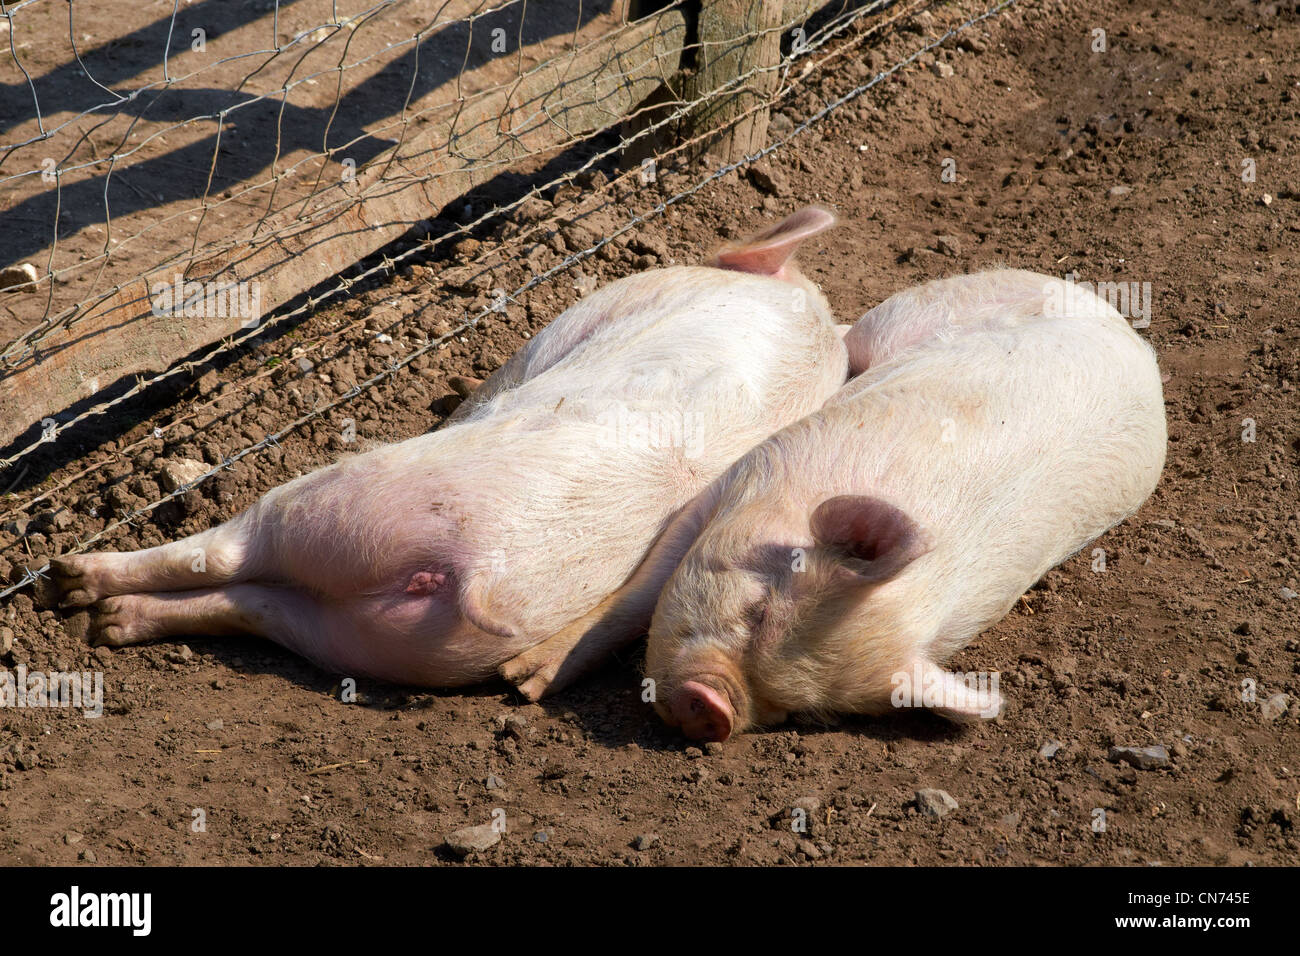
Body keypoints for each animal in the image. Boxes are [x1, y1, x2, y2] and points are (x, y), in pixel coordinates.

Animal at [39, 208, 848, 695]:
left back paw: (74, 582)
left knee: (224, 556)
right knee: (254, 606)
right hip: (380, 643)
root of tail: (478, 570)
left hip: (335, 504)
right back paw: (112, 624)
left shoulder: (580, 320)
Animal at [528, 269, 1167, 740]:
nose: (714, 709)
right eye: (758, 610)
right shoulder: (746, 473)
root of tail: (1120, 324)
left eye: (800, 712)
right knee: (854, 332)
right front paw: (527, 683)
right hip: (912, 314)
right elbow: (643, 585)